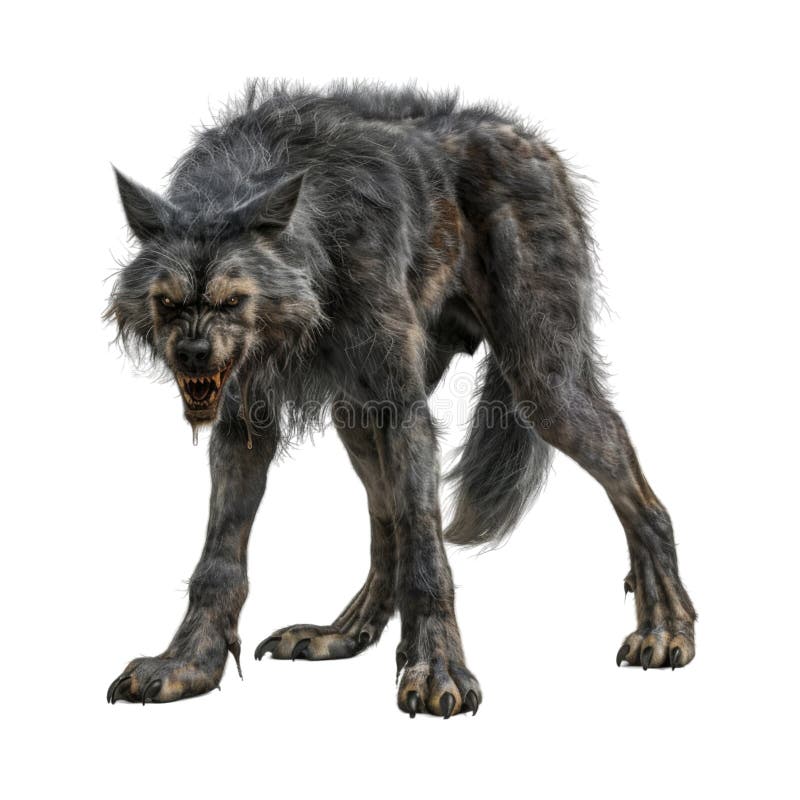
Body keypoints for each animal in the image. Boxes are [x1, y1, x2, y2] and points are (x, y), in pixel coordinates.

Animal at [105, 81, 696, 716]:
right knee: (382, 523)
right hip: (355, 416)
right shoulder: (245, 421)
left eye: (232, 300)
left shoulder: (402, 410)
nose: (192, 354)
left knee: (636, 488)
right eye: (168, 302)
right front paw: (188, 664)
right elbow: (219, 557)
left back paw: (666, 628)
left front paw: (438, 670)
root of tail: (532, 140)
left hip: (544, 387)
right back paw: (343, 633)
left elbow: (424, 549)